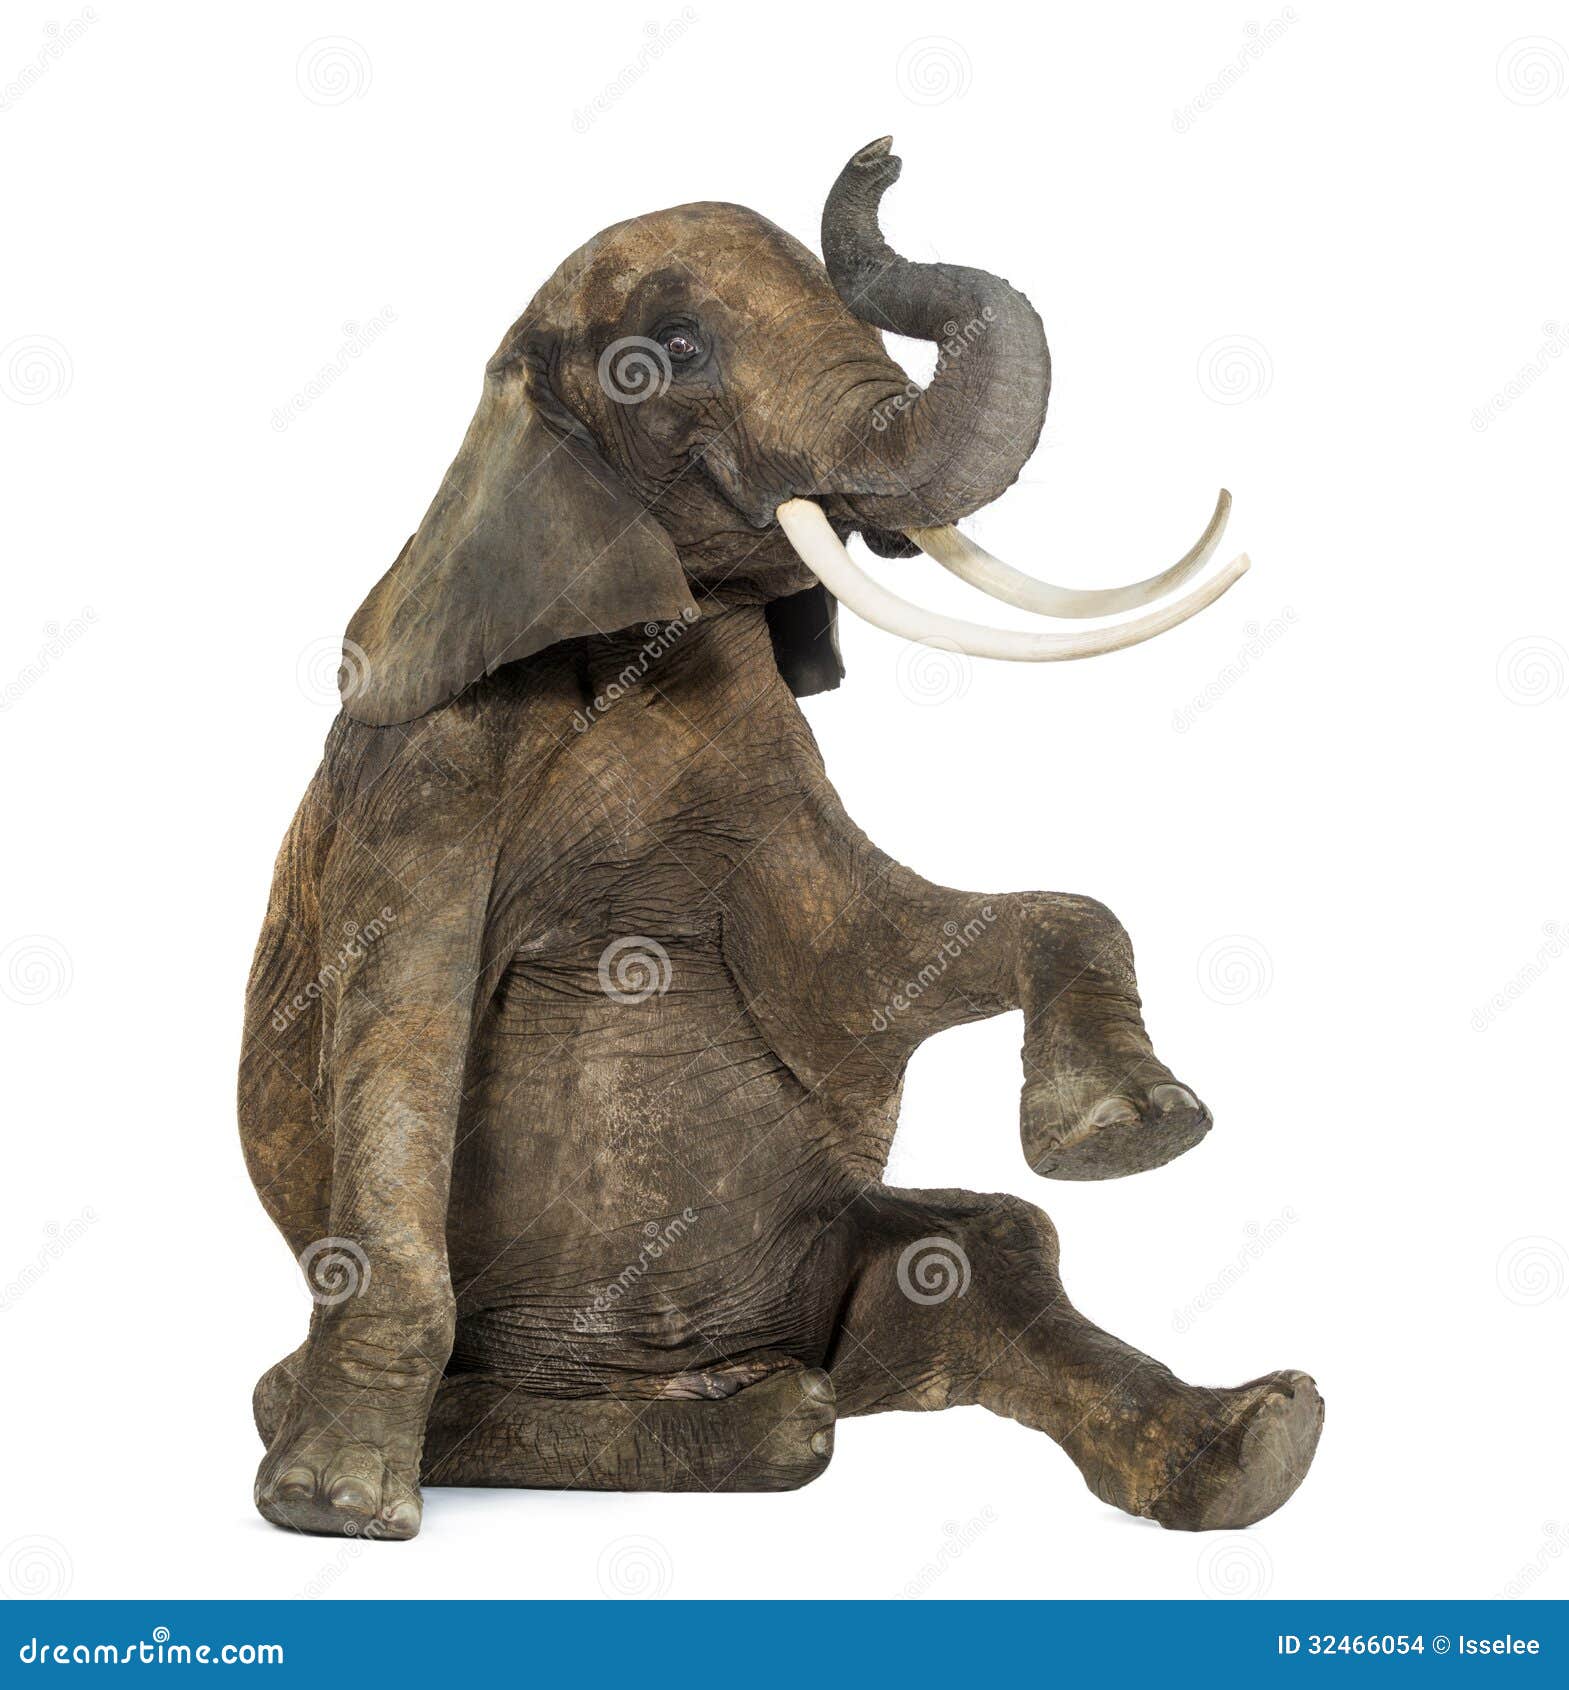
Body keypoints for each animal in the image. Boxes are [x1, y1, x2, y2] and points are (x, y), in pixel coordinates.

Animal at [240, 137, 1323, 1542]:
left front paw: (1134, 1131)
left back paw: (1256, 1436)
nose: (882, 155)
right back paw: (755, 1424)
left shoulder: (768, 767)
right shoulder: (421, 764)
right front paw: (336, 1507)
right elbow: (399, 1046)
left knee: (992, 1249)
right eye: (672, 349)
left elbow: (886, 951)